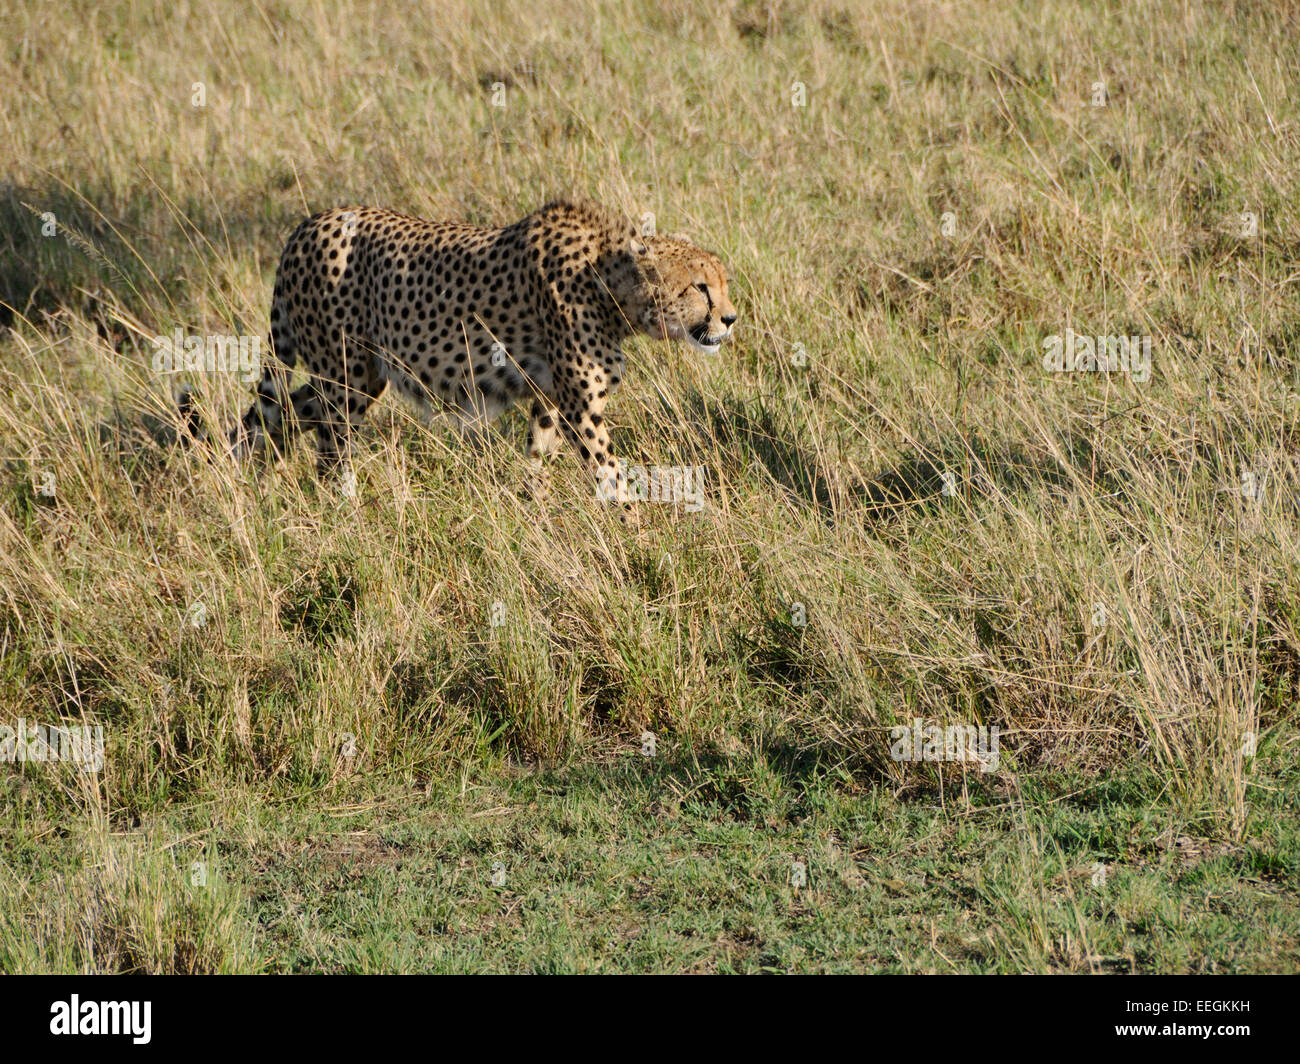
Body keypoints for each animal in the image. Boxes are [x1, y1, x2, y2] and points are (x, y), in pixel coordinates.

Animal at [184, 199, 736, 509]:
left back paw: (244, 472)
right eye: (701, 288)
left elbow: (538, 460)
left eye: (722, 285)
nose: (730, 319)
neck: (608, 281)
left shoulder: (549, 399)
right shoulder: (580, 406)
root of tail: (310, 223)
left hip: (360, 374)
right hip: (346, 373)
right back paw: (341, 510)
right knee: (329, 442)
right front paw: (637, 532)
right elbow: (611, 474)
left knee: (287, 409)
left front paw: (532, 512)